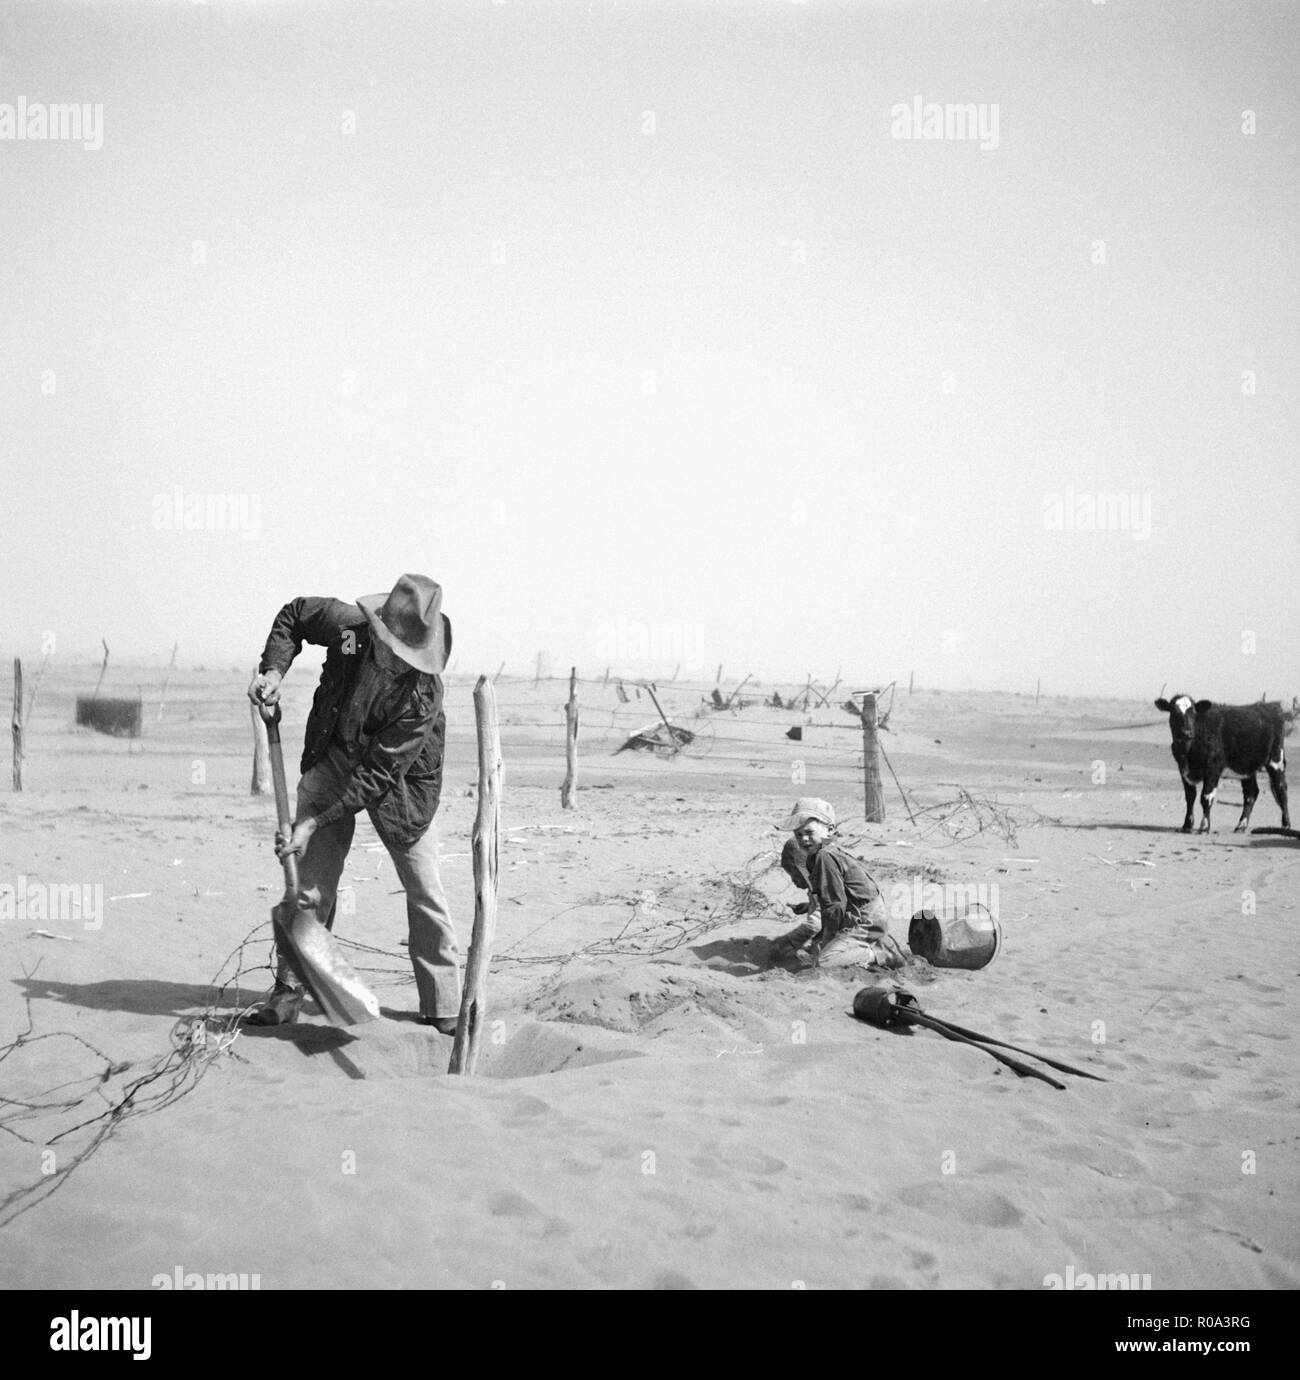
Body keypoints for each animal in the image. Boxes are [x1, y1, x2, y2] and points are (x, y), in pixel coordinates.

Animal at [1159, 690, 1291, 828]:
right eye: (1174, 712)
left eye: (1194, 713)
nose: (1186, 732)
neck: (1188, 750)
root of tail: (1272, 706)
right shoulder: (1183, 769)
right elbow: (1190, 797)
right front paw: (1187, 825)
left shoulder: (1213, 767)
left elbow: (1206, 796)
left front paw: (1204, 826)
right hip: (1247, 768)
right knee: (1251, 794)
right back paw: (1241, 826)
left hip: (1276, 759)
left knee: (1281, 788)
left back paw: (1286, 823)